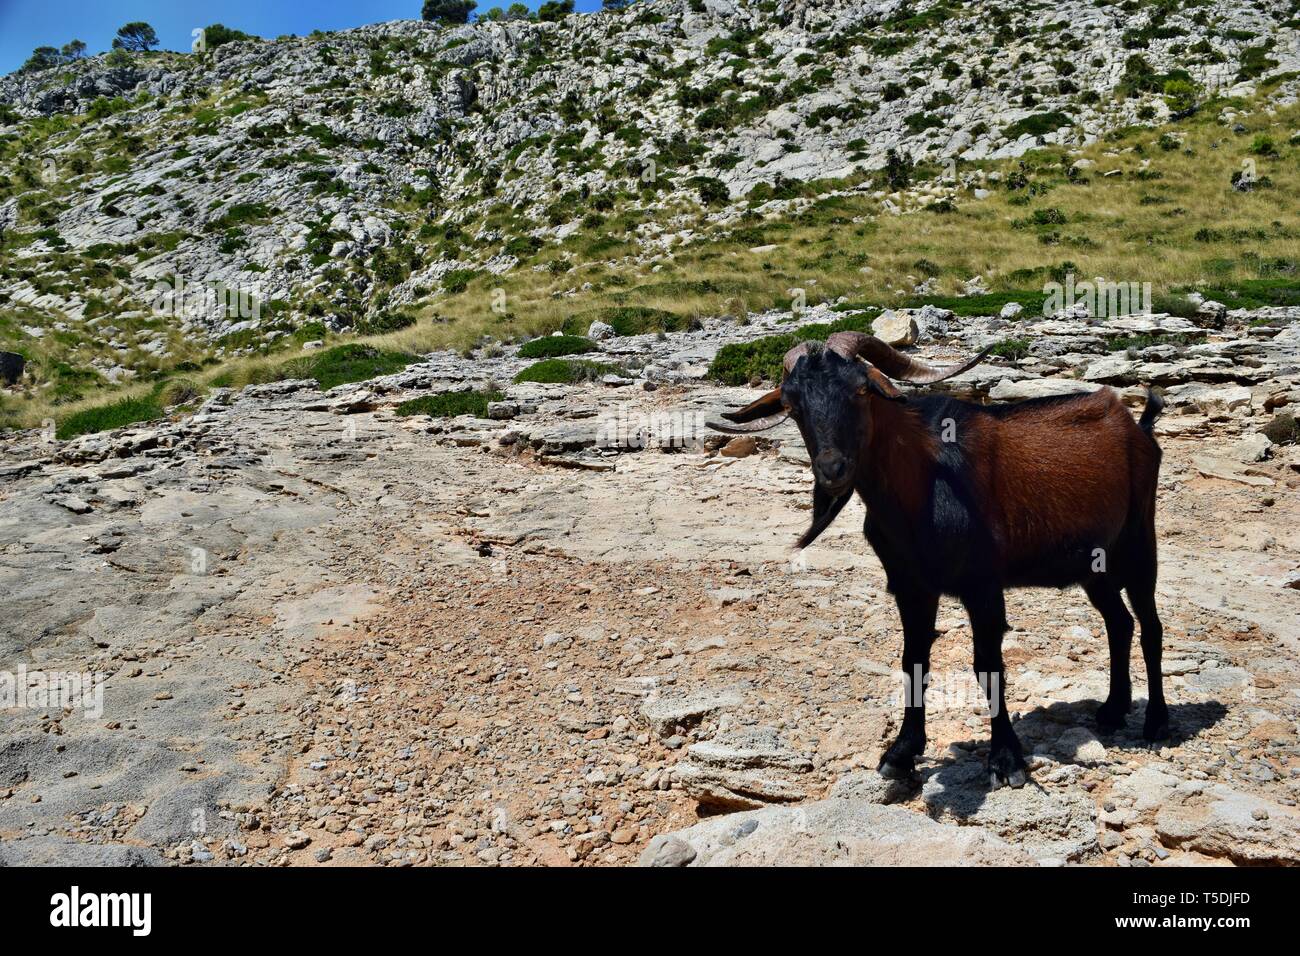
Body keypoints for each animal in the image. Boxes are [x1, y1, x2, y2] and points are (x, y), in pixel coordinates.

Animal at [710, 332, 1167, 787]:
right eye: (793, 404)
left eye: (861, 389)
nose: (832, 469)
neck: (923, 485)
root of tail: (1136, 426)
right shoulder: (911, 586)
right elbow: (913, 660)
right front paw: (900, 752)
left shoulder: (983, 587)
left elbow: (987, 665)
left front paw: (1006, 760)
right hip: (1095, 565)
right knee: (1119, 623)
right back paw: (1113, 710)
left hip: (1139, 541)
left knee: (1150, 626)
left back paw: (1156, 723)